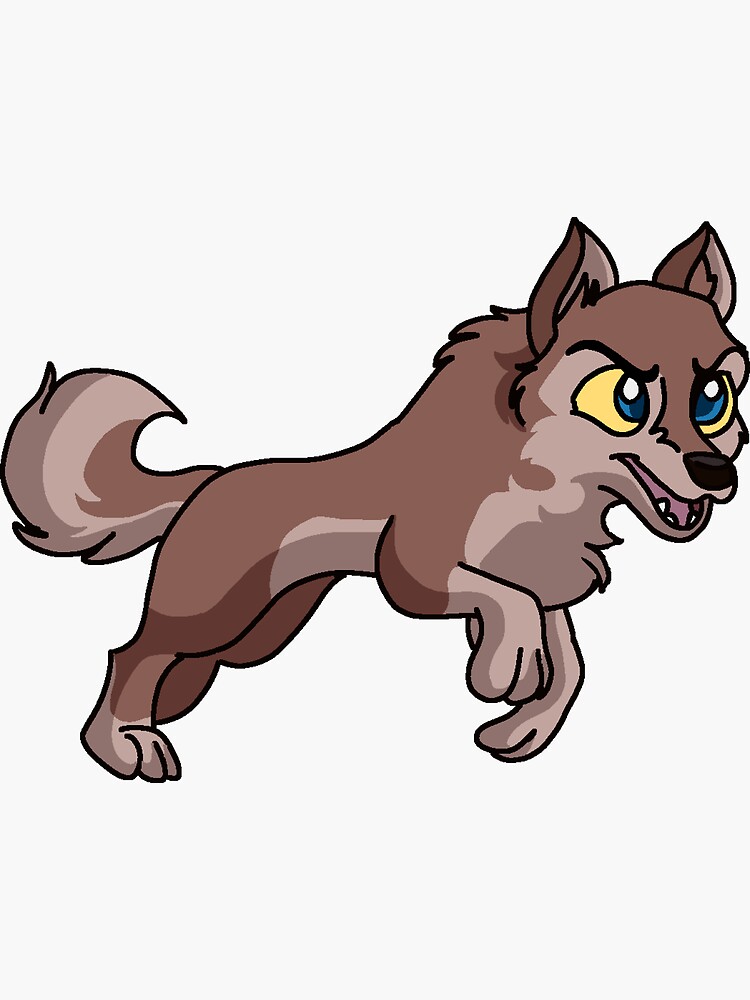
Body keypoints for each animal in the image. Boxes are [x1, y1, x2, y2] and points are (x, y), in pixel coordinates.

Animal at [2, 220, 747, 781]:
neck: (541, 481)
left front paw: (520, 730)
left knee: (162, 664)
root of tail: (210, 480)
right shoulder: (414, 570)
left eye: (714, 398)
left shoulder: (549, 582)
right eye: (626, 398)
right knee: (130, 655)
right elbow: (508, 609)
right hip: (216, 611)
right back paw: (122, 746)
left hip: (255, 631)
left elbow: (570, 667)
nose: (716, 473)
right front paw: (501, 669)